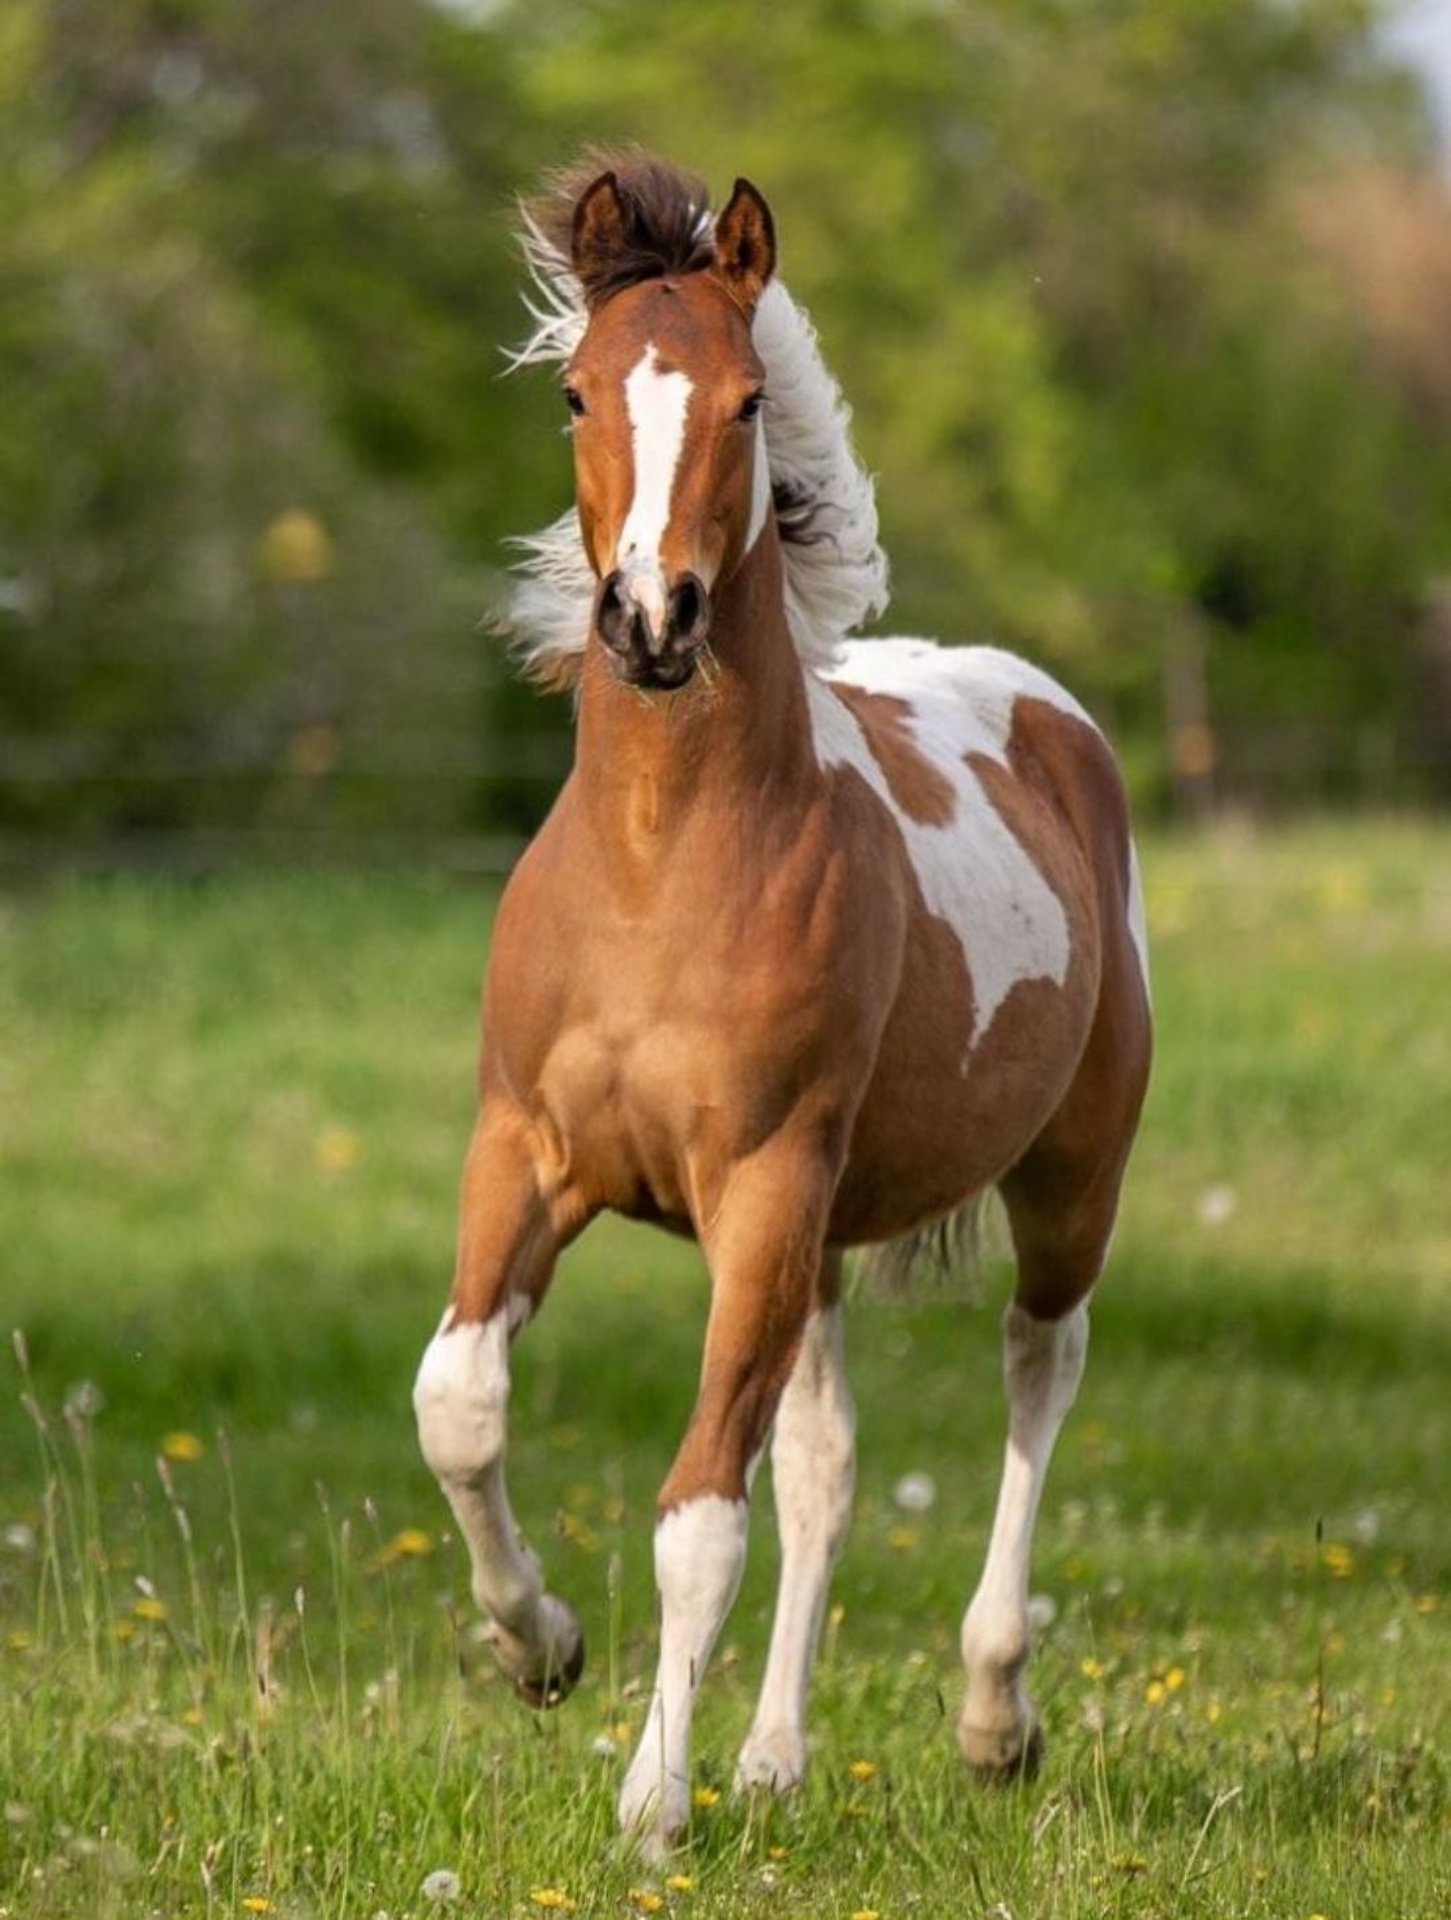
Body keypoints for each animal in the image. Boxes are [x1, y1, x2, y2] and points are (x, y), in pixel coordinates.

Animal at [412, 154, 1152, 1855]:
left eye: (747, 403)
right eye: (574, 392)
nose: (650, 623)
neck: (659, 869)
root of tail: (1049, 719)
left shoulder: (756, 1187)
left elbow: (699, 1514)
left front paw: (647, 1805)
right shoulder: (526, 1153)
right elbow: (459, 1403)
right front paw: (538, 1649)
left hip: (1058, 1178)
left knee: (1038, 1369)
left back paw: (990, 1720)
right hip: (819, 1245)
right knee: (822, 1462)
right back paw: (773, 1760)